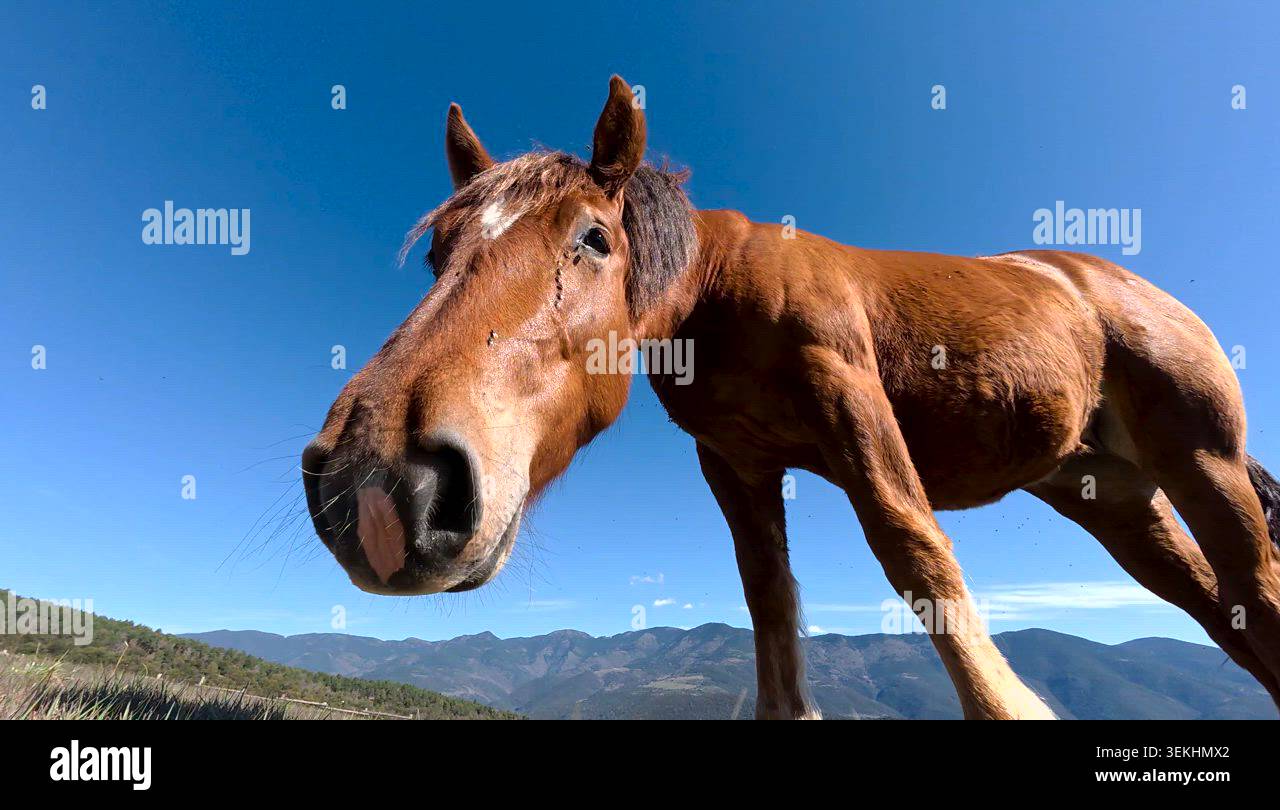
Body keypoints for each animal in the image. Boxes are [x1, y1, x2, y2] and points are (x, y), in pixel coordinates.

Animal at [302, 76, 1280, 719]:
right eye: (440, 254)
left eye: (592, 239)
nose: (372, 483)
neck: (717, 288)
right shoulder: (738, 464)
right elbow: (770, 606)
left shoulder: (849, 401)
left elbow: (917, 555)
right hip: (1117, 500)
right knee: (1229, 619)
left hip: (1205, 466)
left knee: (1258, 597)